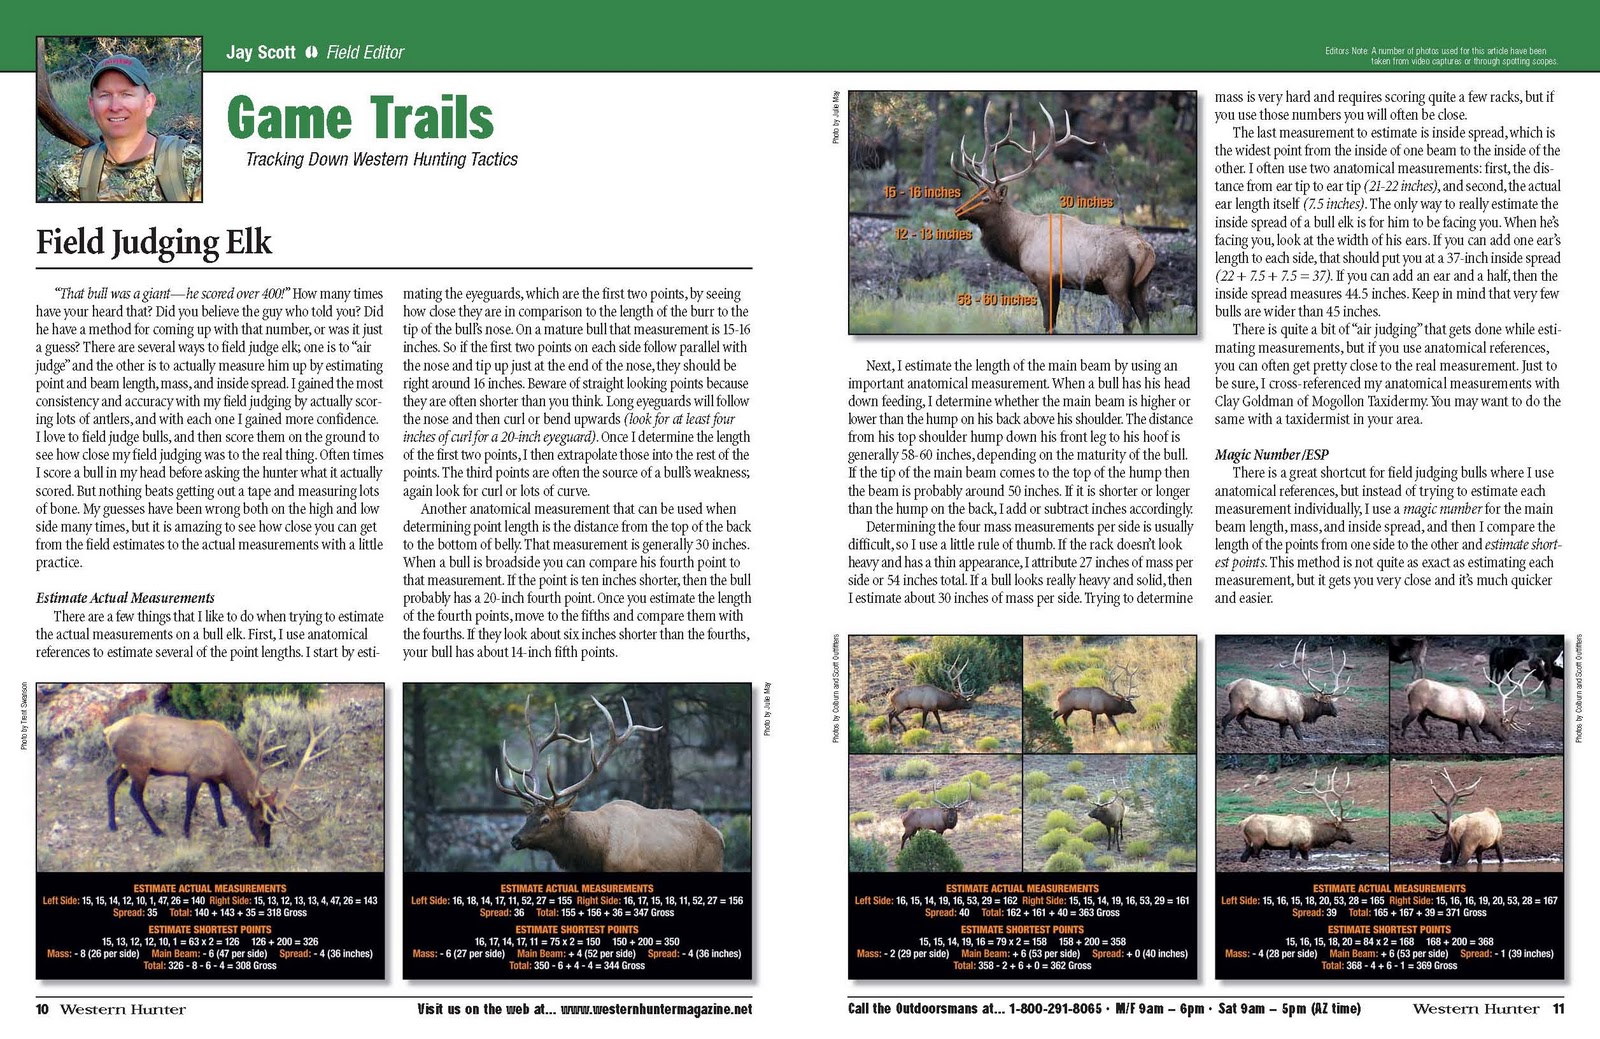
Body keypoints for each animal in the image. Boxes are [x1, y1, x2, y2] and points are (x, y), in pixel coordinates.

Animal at [104, 713, 331, 848]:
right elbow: (191, 801)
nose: (266, 844)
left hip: (124, 765)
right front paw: (186, 831)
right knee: (135, 794)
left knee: (110, 783)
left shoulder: (211, 777)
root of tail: (108, 731)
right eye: (260, 820)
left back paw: (112, 824)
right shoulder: (195, 772)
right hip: (138, 766)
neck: (225, 765)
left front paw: (223, 822)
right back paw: (157, 830)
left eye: (272, 821)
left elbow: (217, 796)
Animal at [495, 696, 723, 872]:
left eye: (546, 820)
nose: (515, 839)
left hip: (711, 867)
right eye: (528, 816)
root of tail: (719, 835)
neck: (595, 854)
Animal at [950, 102, 1155, 333]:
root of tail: (1144, 248)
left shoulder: (1043, 278)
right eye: (975, 193)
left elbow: (1048, 323)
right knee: (1145, 317)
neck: (1018, 242)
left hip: (1116, 282)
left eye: (985, 199)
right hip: (1140, 285)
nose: (958, 211)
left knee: (1128, 319)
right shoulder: (1057, 283)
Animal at [1218, 641, 1349, 741]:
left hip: (1245, 709)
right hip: (1237, 704)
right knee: (1225, 719)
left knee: (1240, 719)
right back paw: (1225, 736)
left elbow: (1282, 736)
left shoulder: (1283, 722)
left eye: (1333, 701)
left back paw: (1253, 734)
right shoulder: (1294, 720)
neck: (1304, 708)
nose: (1336, 712)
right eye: (1326, 702)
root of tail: (1230, 685)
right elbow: (1300, 738)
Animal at [1398, 664, 1535, 743]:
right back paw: (1403, 737)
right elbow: (1479, 740)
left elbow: (1461, 737)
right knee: (1405, 721)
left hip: (1425, 710)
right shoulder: (1473, 722)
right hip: (1416, 705)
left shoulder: (1461, 723)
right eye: (1506, 728)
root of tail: (1409, 686)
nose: (1506, 740)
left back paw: (1431, 736)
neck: (1483, 714)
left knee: (1420, 720)